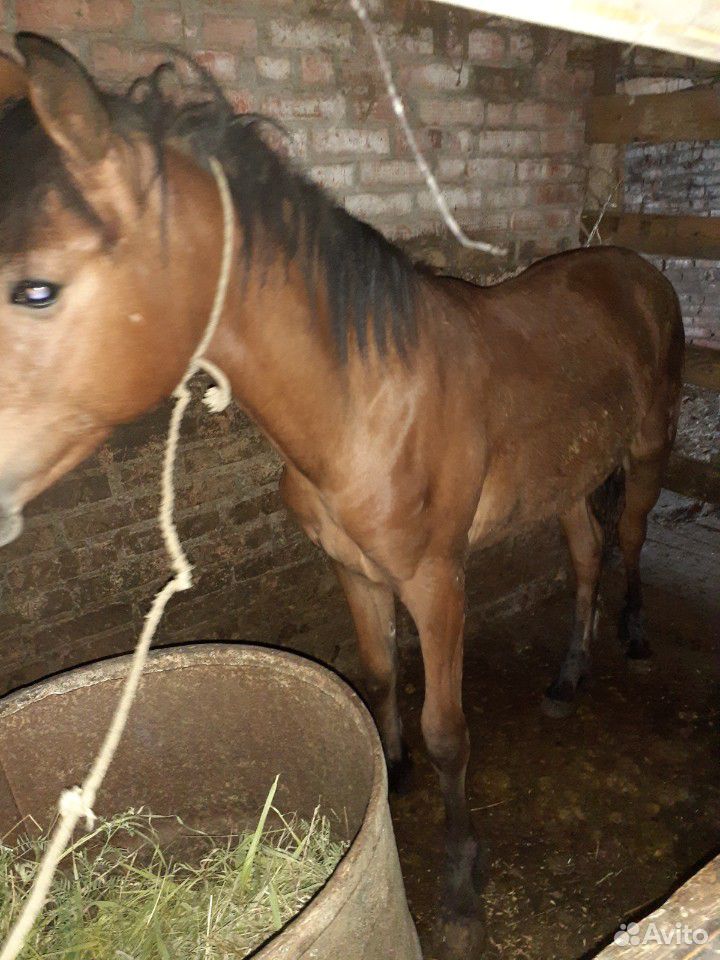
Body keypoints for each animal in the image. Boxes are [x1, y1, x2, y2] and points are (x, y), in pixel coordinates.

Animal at [0, 35, 684, 956]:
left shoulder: (437, 583)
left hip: (646, 453)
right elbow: (378, 676)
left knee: (631, 539)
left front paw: (461, 883)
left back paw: (634, 637)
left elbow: (448, 731)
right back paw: (567, 679)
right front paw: (386, 777)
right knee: (582, 558)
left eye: (36, 289)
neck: (366, 403)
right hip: (567, 482)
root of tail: (634, 269)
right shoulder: (355, 574)